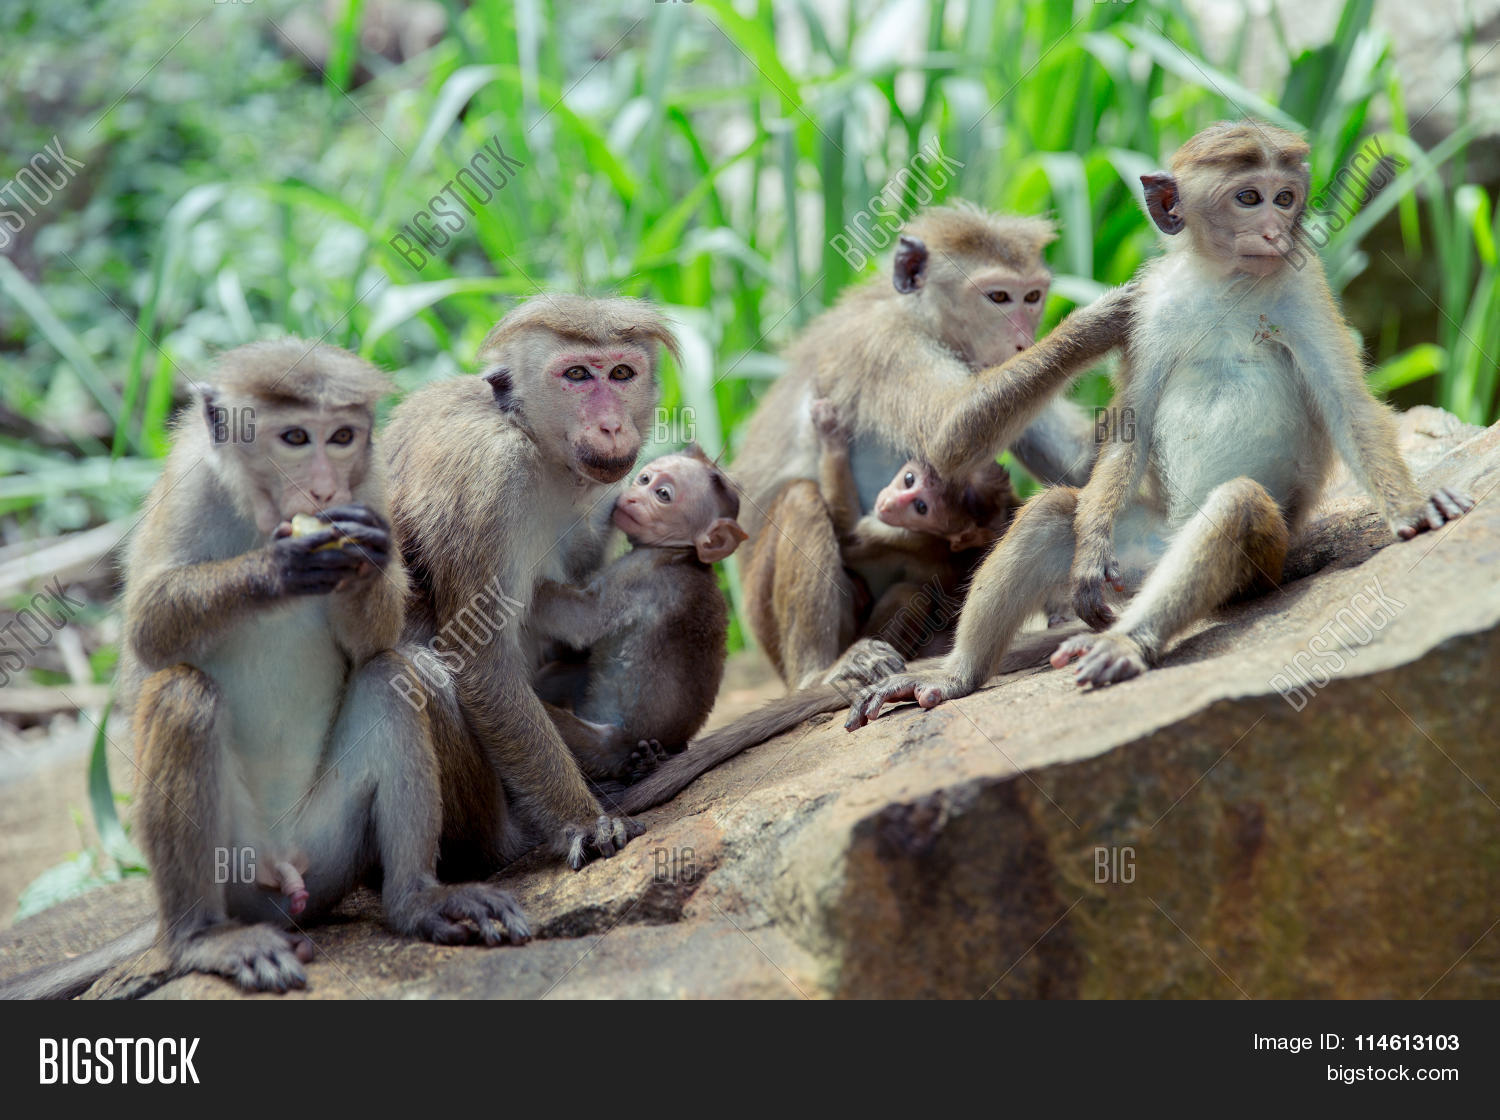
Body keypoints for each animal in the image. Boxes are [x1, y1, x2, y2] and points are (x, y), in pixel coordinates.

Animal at [4, 340, 529, 999]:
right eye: (296, 437)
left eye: (343, 436)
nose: (324, 487)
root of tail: (283, 866)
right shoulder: (189, 483)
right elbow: (148, 625)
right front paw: (279, 565)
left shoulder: (371, 481)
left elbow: (376, 642)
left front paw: (363, 554)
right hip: (235, 862)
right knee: (182, 696)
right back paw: (200, 937)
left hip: (330, 847)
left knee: (388, 678)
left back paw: (417, 900)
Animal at [384, 294, 680, 874]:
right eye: (576, 375)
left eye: (621, 373)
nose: (611, 425)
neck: (535, 444)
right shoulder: (485, 483)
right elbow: (481, 663)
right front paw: (584, 821)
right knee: (417, 674)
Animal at [532, 444, 748, 781]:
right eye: (644, 479)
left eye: (663, 494)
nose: (631, 497)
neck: (680, 553)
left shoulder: (639, 576)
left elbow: (581, 620)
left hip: (603, 746)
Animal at [733, 202, 1101, 692]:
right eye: (998, 297)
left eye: (1033, 297)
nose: (1023, 341)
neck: (924, 321)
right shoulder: (885, 344)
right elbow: (949, 432)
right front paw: (1100, 322)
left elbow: (1078, 462)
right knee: (801, 497)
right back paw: (820, 672)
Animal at [845, 120, 1475, 729]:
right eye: (1250, 198)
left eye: (1286, 197)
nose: (1275, 229)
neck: (1226, 282)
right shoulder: (1150, 309)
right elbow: (1133, 423)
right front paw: (1088, 550)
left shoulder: (1305, 290)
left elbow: (1346, 404)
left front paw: (1414, 507)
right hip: (1132, 553)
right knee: (1053, 514)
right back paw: (957, 676)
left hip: (1261, 564)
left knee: (1237, 507)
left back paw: (1125, 644)